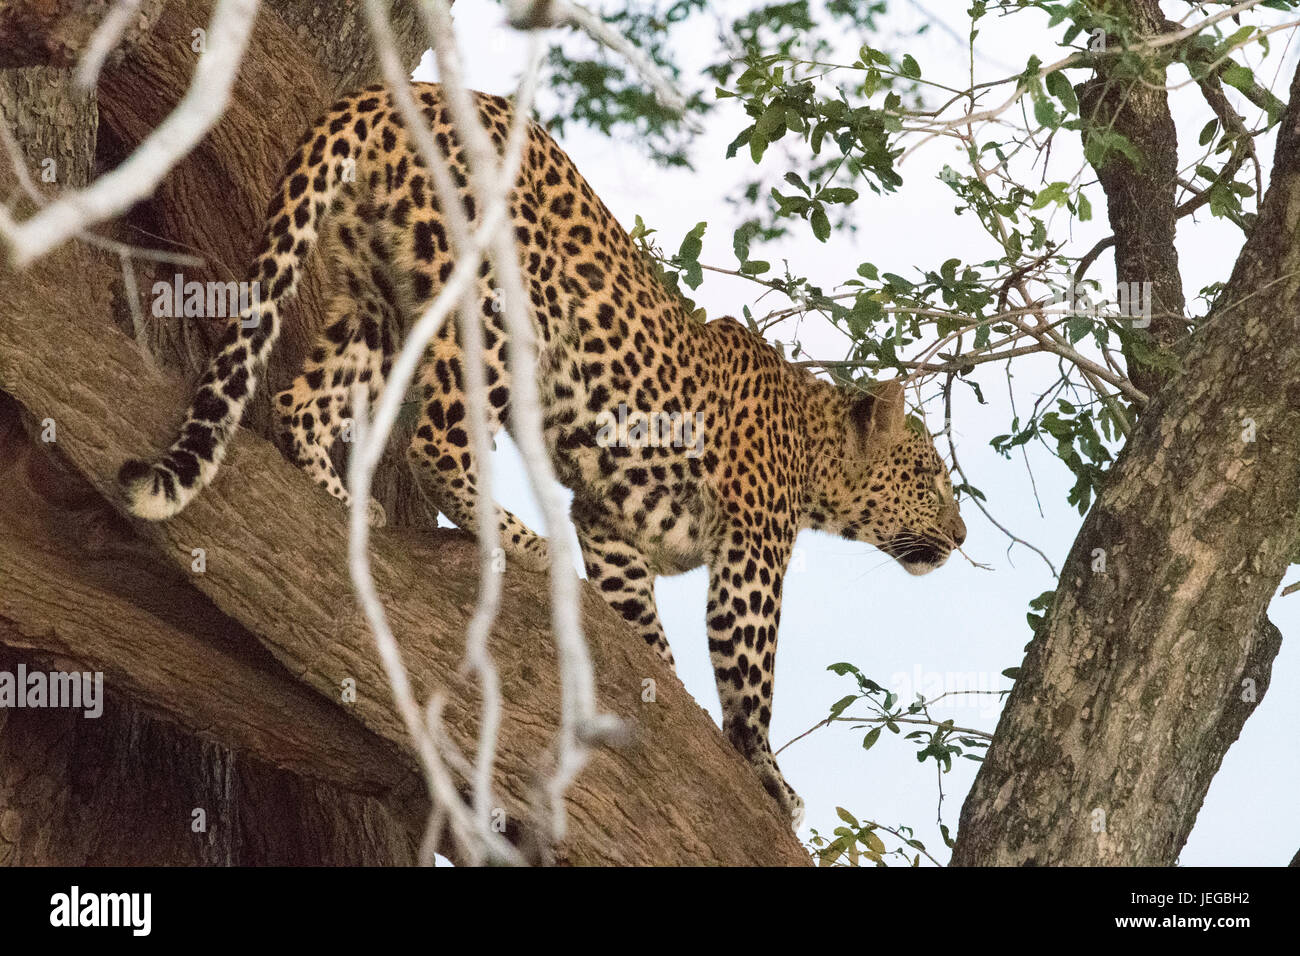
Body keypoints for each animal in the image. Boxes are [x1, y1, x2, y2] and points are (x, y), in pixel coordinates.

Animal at [119, 82, 967, 828]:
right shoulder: (750, 557)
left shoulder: (611, 520)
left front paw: (661, 683)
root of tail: (395, 93)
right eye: (930, 478)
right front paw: (768, 774)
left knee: (302, 402)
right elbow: (748, 675)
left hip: (378, 301)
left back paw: (342, 499)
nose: (961, 537)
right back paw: (518, 540)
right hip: (491, 307)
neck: (812, 447)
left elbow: (642, 621)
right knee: (437, 443)